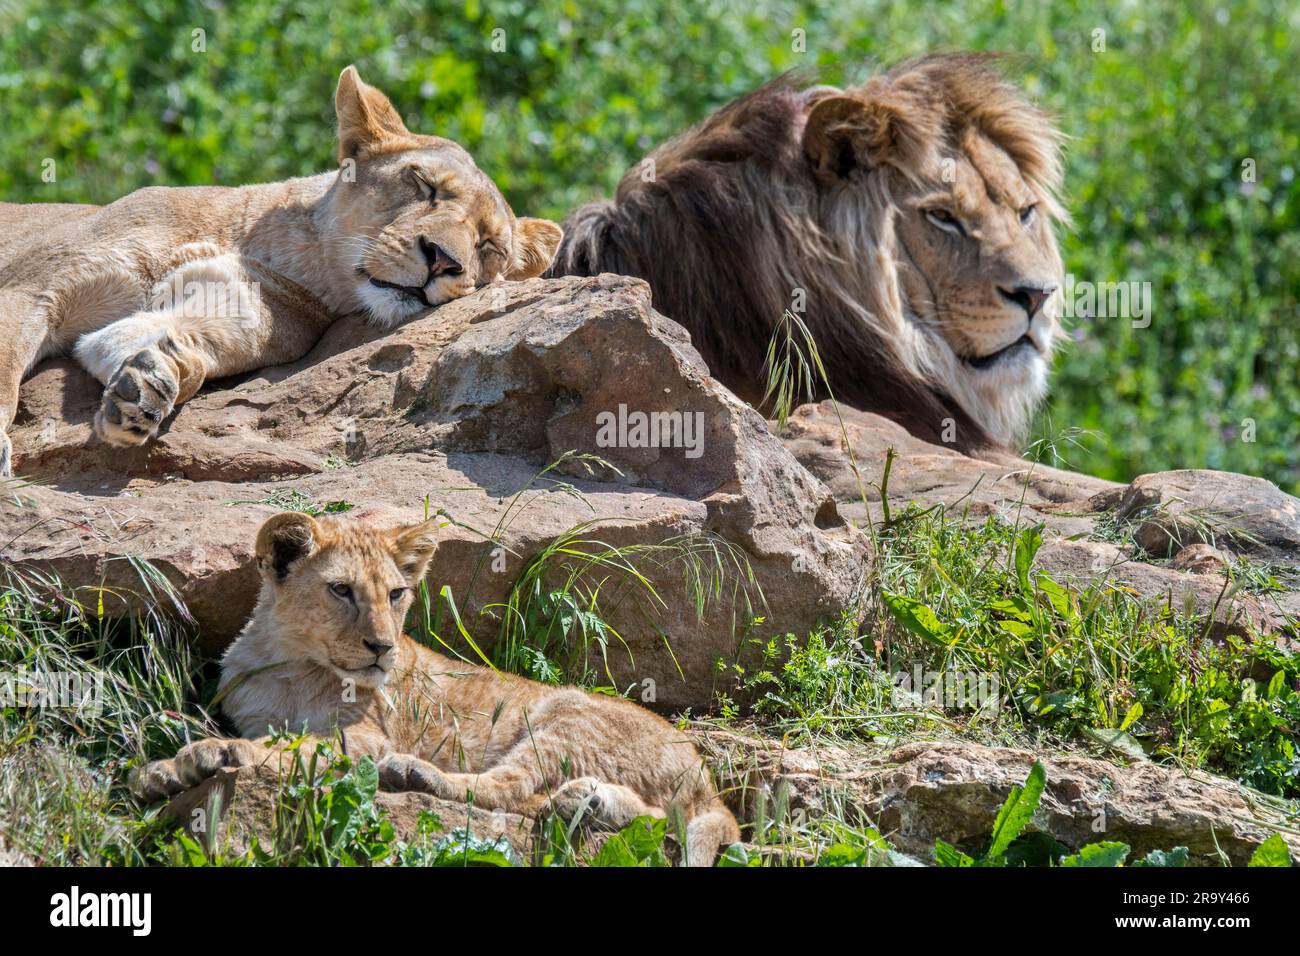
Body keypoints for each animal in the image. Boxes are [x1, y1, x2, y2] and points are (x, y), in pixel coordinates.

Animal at [0, 66, 563, 477]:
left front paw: (148, 387)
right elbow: (5, 366)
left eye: (489, 247)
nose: (444, 260)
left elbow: (159, 345)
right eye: (425, 185)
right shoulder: (31, 287)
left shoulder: (244, 314)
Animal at [130, 510, 740, 866]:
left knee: (506, 791)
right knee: (648, 816)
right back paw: (583, 799)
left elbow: (287, 746)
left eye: (396, 594)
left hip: (565, 717)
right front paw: (163, 760)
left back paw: (415, 773)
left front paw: (199, 757)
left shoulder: (363, 741)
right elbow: (262, 733)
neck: (289, 663)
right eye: (341, 590)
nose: (382, 647)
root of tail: (704, 771)